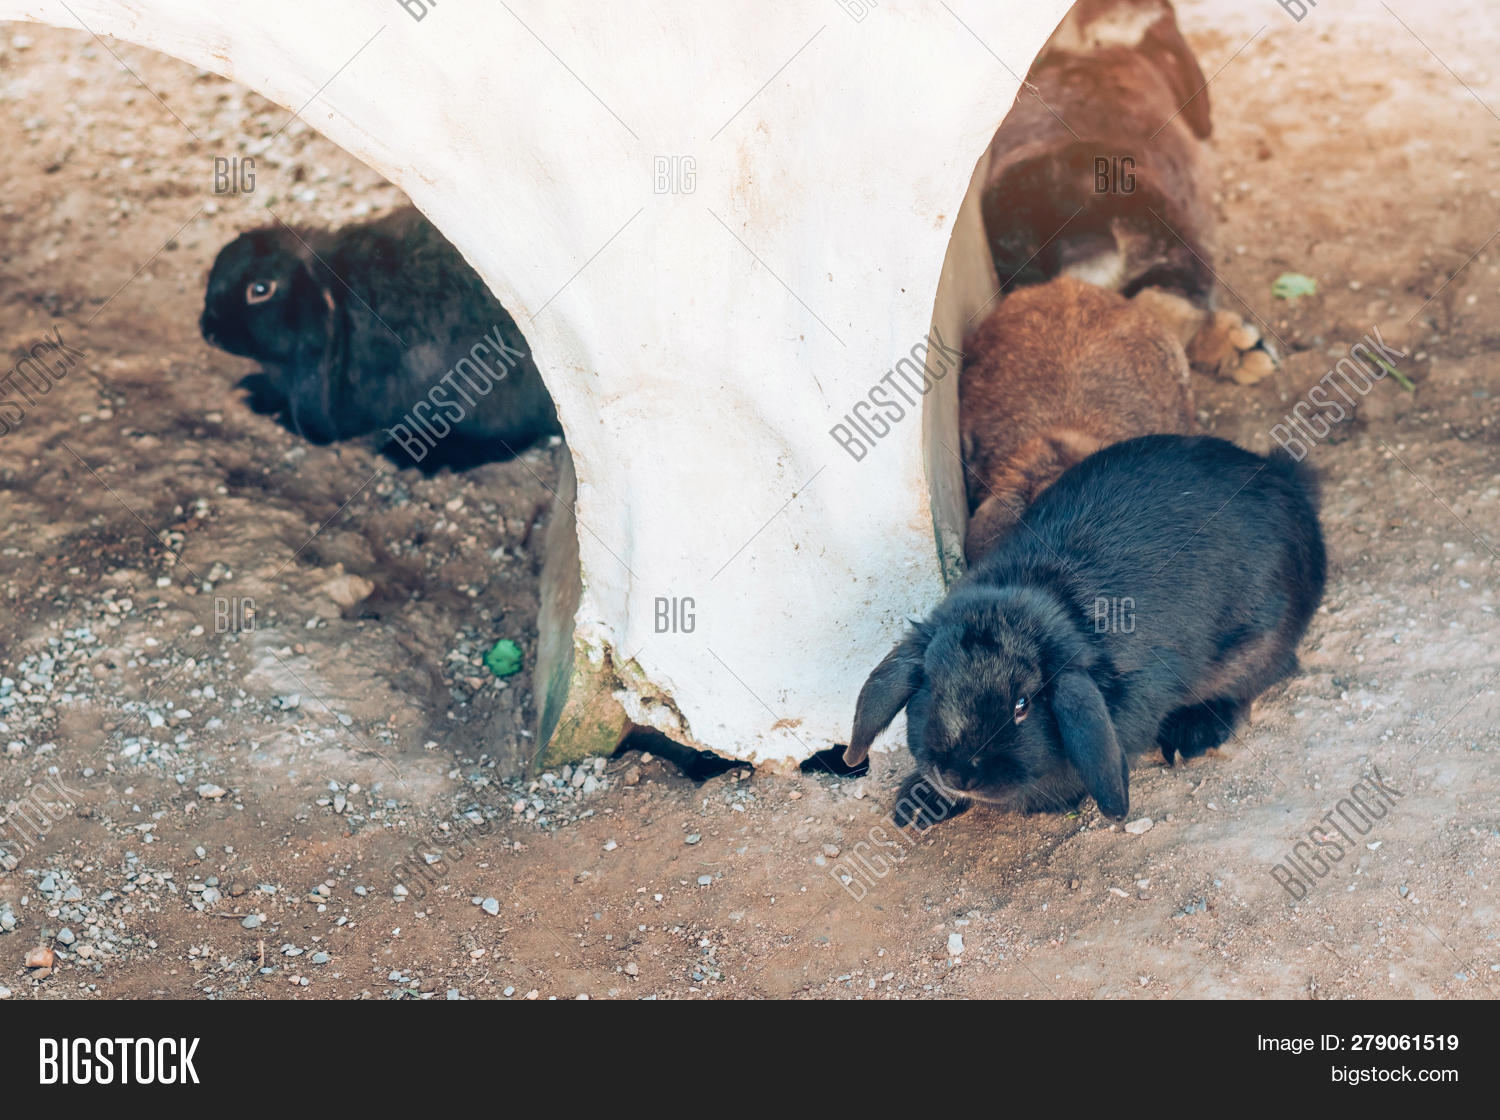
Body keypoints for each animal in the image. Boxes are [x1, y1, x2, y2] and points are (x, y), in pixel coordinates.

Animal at [844, 434, 1326, 830]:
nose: (959, 774)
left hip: (1257, 641)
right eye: (932, 688)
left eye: (1022, 706)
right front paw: (915, 806)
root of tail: (1286, 483)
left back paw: (1194, 735)